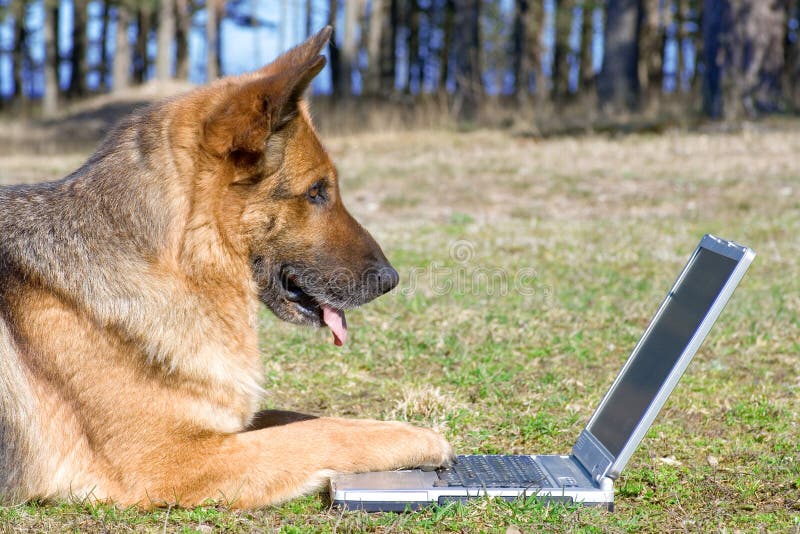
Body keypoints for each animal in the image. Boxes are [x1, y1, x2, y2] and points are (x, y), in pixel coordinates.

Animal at [0, 28, 454, 510]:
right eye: (316, 191)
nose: (392, 280)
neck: (179, 262)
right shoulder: (174, 459)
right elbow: (320, 433)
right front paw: (418, 436)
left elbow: (302, 417)